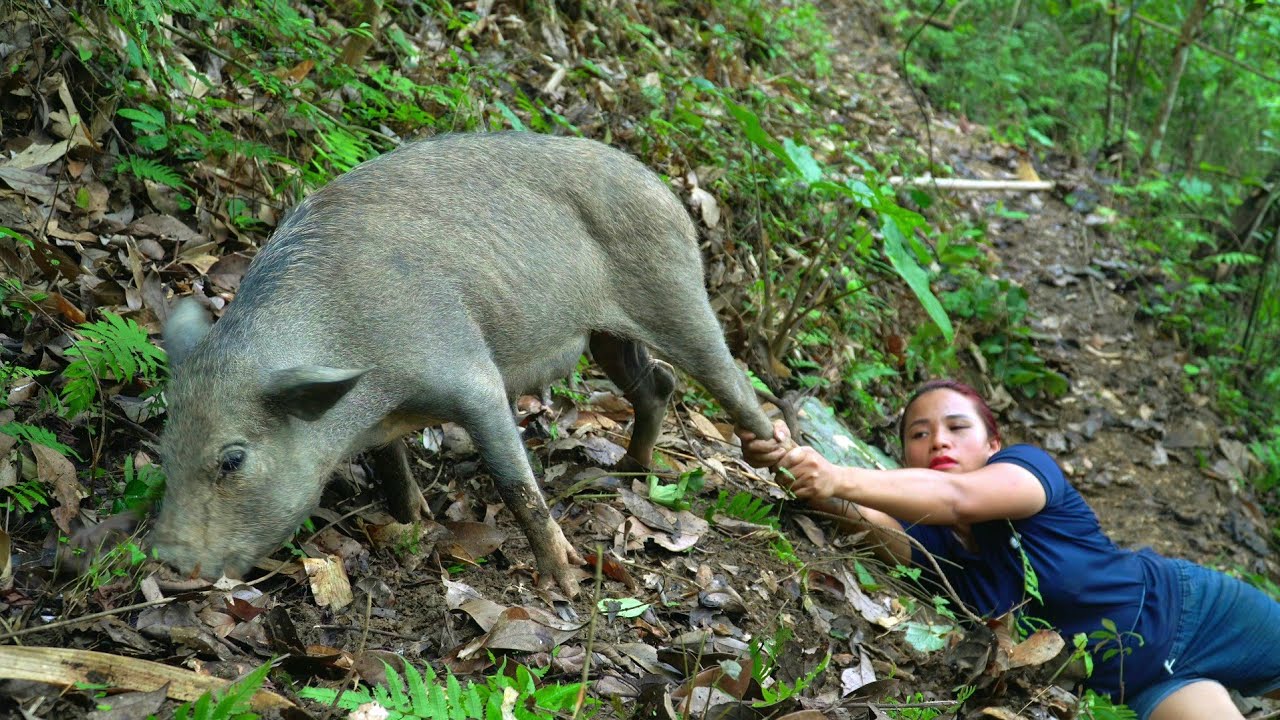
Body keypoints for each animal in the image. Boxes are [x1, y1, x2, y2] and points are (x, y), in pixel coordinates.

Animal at [153, 132, 776, 595]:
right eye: (166, 445)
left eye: (232, 460)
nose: (163, 560)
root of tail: (665, 191)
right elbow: (392, 460)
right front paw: (415, 519)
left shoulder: (470, 374)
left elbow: (514, 481)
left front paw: (563, 584)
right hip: (605, 336)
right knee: (658, 383)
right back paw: (630, 470)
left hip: (674, 290)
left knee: (729, 380)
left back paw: (769, 455)